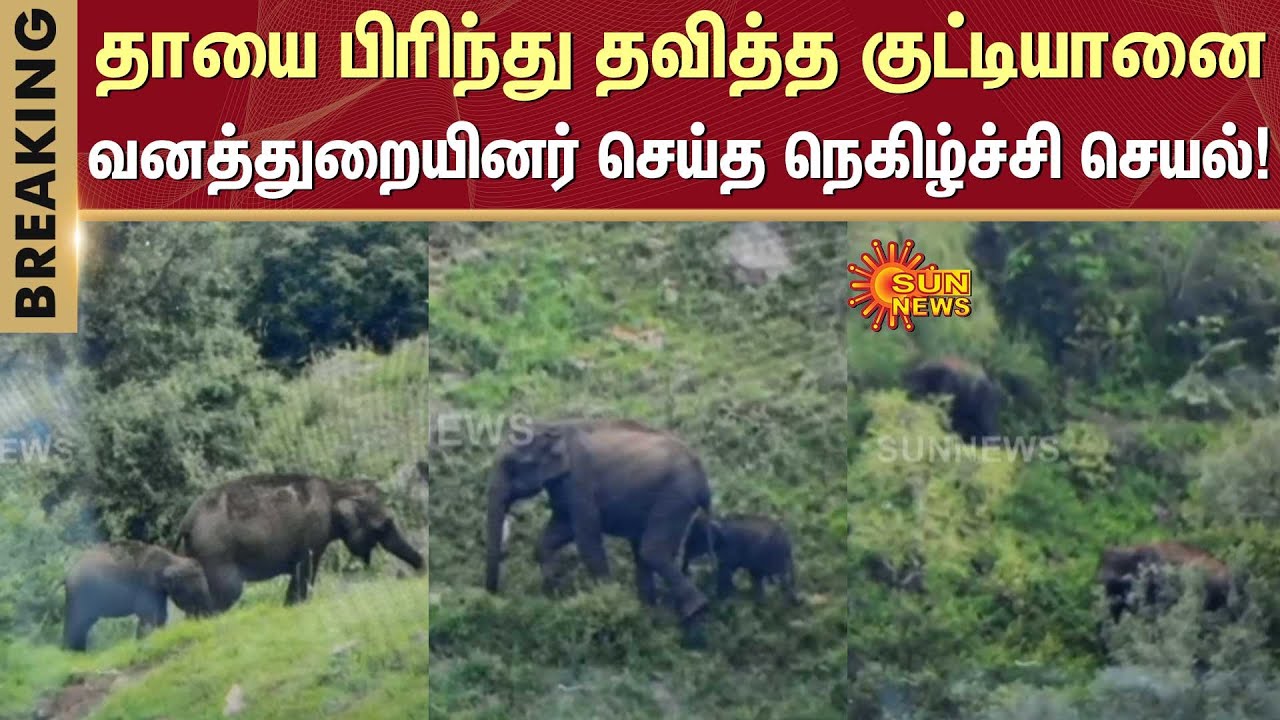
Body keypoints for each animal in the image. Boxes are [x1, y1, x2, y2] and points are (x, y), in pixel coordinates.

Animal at [63, 540, 214, 651]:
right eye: (195, 593)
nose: (202, 619)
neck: (171, 559)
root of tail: (68, 573)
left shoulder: (157, 590)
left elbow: (161, 614)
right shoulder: (146, 585)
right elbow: (147, 614)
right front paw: (143, 639)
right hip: (80, 595)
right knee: (77, 623)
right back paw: (73, 652)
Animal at [173, 474, 425, 613]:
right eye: (384, 525)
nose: (421, 569)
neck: (336, 488)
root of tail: (186, 521)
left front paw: (289, 606)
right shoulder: (315, 531)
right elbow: (306, 568)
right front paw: (295, 605)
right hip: (215, 553)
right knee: (227, 593)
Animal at [484, 418, 714, 628]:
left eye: (510, 464)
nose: (493, 595)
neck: (552, 426)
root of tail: (703, 478)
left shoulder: (580, 479)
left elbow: (587, 535)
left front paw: (609, 600)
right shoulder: (563, 487)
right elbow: (559, 529)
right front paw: (554, 590)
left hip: (675, 495)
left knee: (651, 551)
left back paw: (695, 609)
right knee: (643, 554)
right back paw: (648, 613)